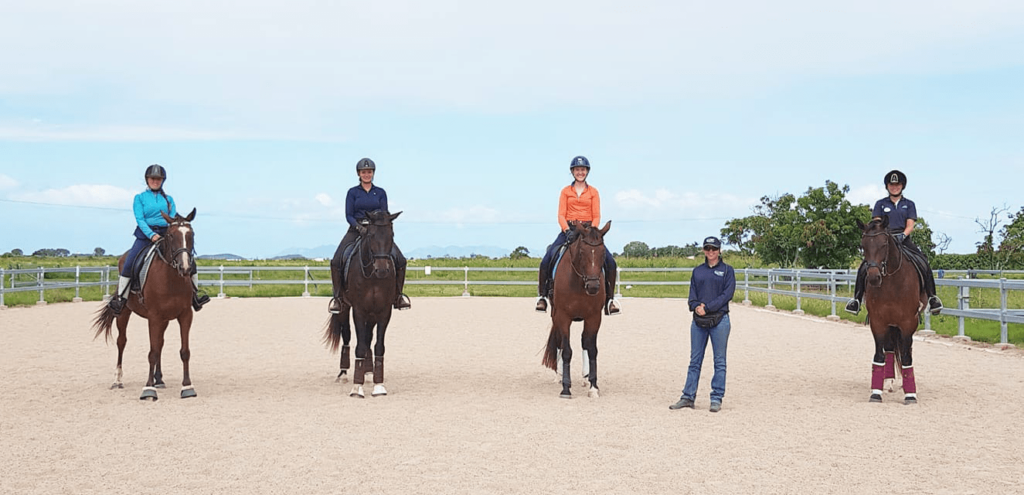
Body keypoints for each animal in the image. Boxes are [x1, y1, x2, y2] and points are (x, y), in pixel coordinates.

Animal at [92, 209, 200, 401]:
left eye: (191, 234)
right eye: (171, 235)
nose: (186, 268)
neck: (171, 279)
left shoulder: (185, 315)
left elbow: (184, 351)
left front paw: (187, 386)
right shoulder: (154, 317)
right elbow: (152, 352)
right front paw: (149, 389)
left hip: (164, 320)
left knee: (160, 343)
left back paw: (159, 379)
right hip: (124, 313)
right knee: (122, 342)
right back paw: (118, 380)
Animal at [323, 210, 401, 398]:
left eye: (391, 235)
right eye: (371, 235)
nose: (382, 269)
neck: (373, 276)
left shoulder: (384, 311)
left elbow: (378, 346)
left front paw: (378, 385)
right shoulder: (358, 310)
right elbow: (358, 346)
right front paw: (356, 387)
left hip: (372, 313)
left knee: (368, 337)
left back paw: (368, 370)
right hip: (344, 309)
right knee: (347, 336)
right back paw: (344, 373)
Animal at [541, 221, 611, 398]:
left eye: (602, 253)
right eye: (581, 252)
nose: (593, 286)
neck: (579, 282)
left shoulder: (594, 317)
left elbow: (592, 349)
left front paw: (593, 387)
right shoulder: (563, 317)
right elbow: (566, 350)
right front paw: (566, 388)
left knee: (584, 342)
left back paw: (586, 377)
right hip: (555, 315)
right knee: (559, 341)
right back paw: (559, 375)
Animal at [858, 216, 925, 405]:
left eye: (883, 244)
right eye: (863, 246)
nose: (873, 277)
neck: (893, 282)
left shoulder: (908, 323)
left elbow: (907, 356)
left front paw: (910, 395)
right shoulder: (878, 322)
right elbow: (879, 356)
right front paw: (876, 392)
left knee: (904, 350)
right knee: (889, 350)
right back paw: (887, 382)